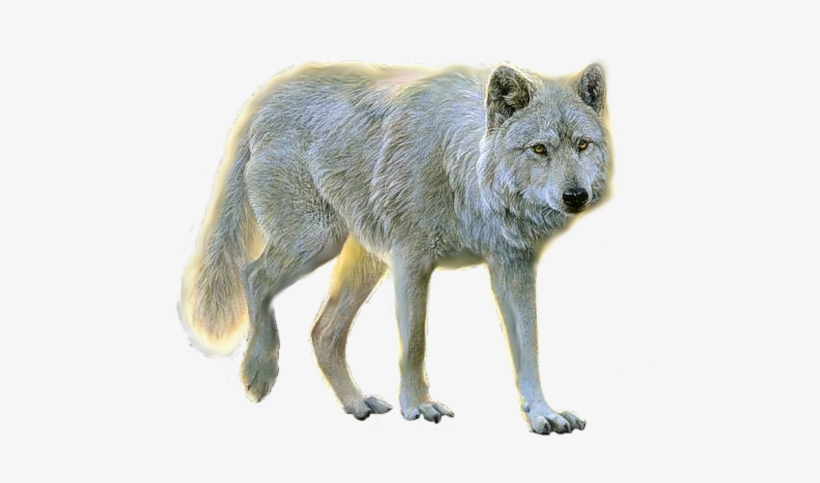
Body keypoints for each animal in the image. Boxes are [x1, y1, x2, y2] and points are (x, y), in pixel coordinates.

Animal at [179, 61, 612, 434]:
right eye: (539, 149)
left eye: (583, 145)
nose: (576, 196)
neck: (461, 169)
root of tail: (266, 100)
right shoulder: (412, 261)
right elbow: (416, 343)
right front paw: (418, 406)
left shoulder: (513, 266)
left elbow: (529, 347)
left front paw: (543, 413)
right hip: (315, 241)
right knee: (253, 275)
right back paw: (259, 372)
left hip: (364, 263)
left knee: (322, 332)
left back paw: (355, 403)